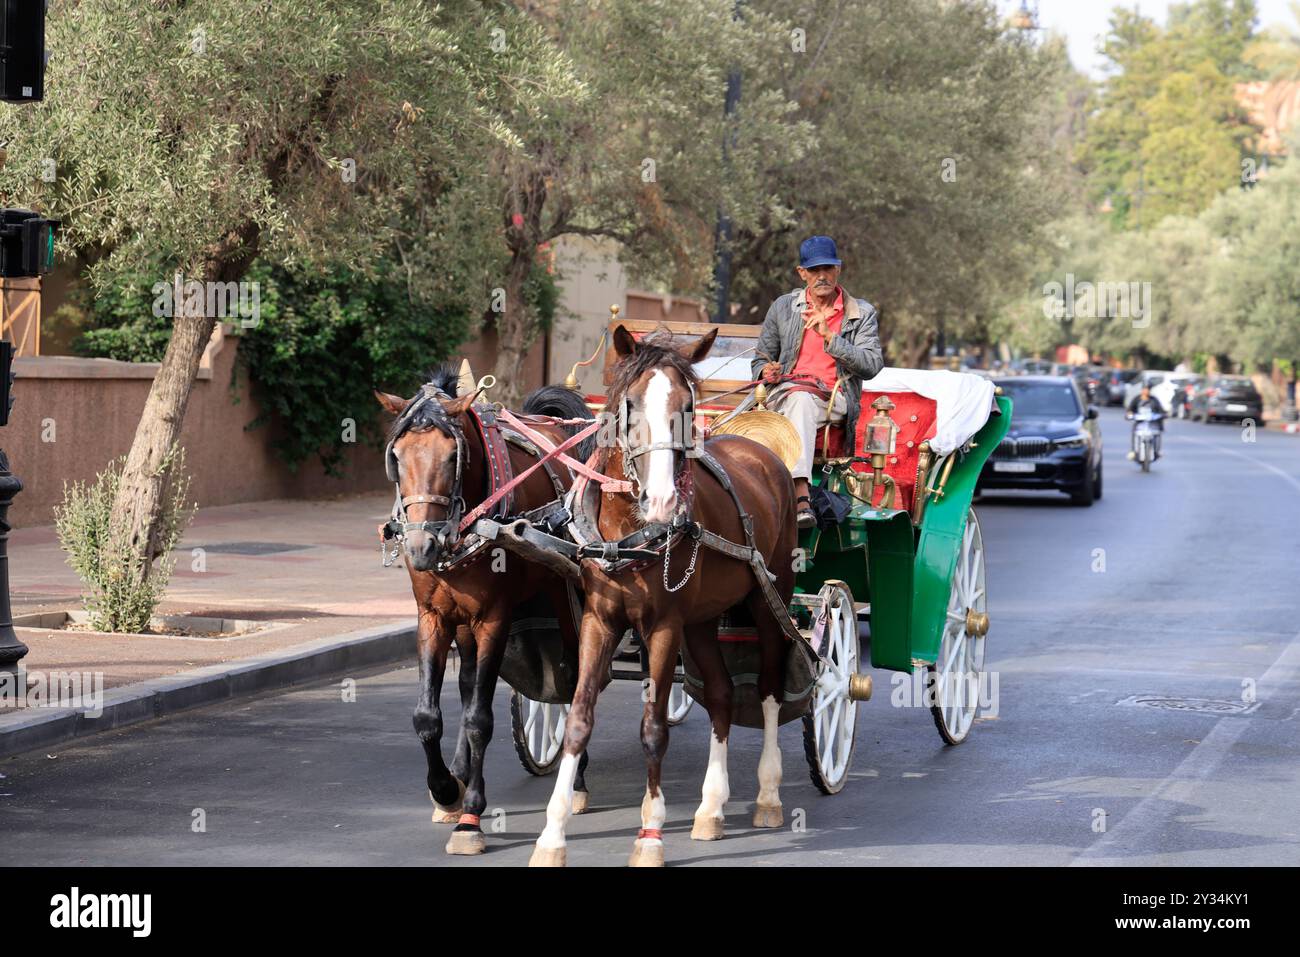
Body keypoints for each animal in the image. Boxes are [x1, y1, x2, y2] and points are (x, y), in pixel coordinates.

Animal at [374, 367, 594, 855]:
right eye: (396, 456)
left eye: (453, 455)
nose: (420, 546)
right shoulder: (434, 617)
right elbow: (428, 715)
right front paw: (445, 789)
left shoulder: (494, 618)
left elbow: (479, 718)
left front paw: (471, 816)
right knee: (469, 683)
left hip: (565, 599)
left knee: (574, 677)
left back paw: (577, 778)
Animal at [529, 327, 799, 867]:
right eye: (630, 404)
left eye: (688, 405)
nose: (661, 501)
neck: (627, 533)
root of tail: (763, 455)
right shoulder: (599, 620)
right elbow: (578, 717)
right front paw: (552, 835)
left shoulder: (663, 627)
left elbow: (654, 728)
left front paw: (650, 834)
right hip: (702, 621)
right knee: (720, 694)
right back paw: (711, 807)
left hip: (768, 599)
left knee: (769, 689)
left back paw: (767, 794)